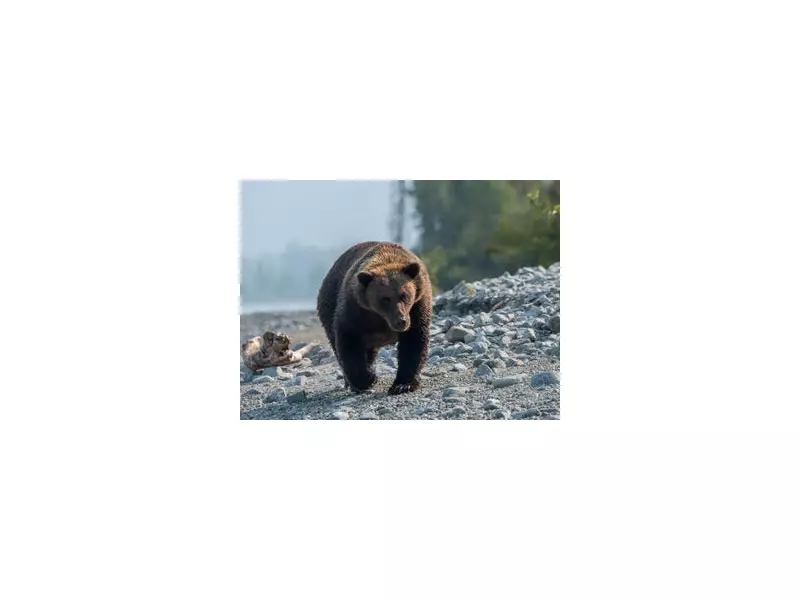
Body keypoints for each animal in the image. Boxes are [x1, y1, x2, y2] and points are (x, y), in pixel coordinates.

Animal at [316, 241, 432, 395]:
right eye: (385, 299)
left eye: (404, 295)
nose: (401, 321)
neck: (381, 317)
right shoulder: (355, 308)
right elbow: (349, 340)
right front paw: (366, 379)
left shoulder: (417, 306)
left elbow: (414, 340)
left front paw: (402, 385)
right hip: (329, 304)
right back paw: (351, 382)